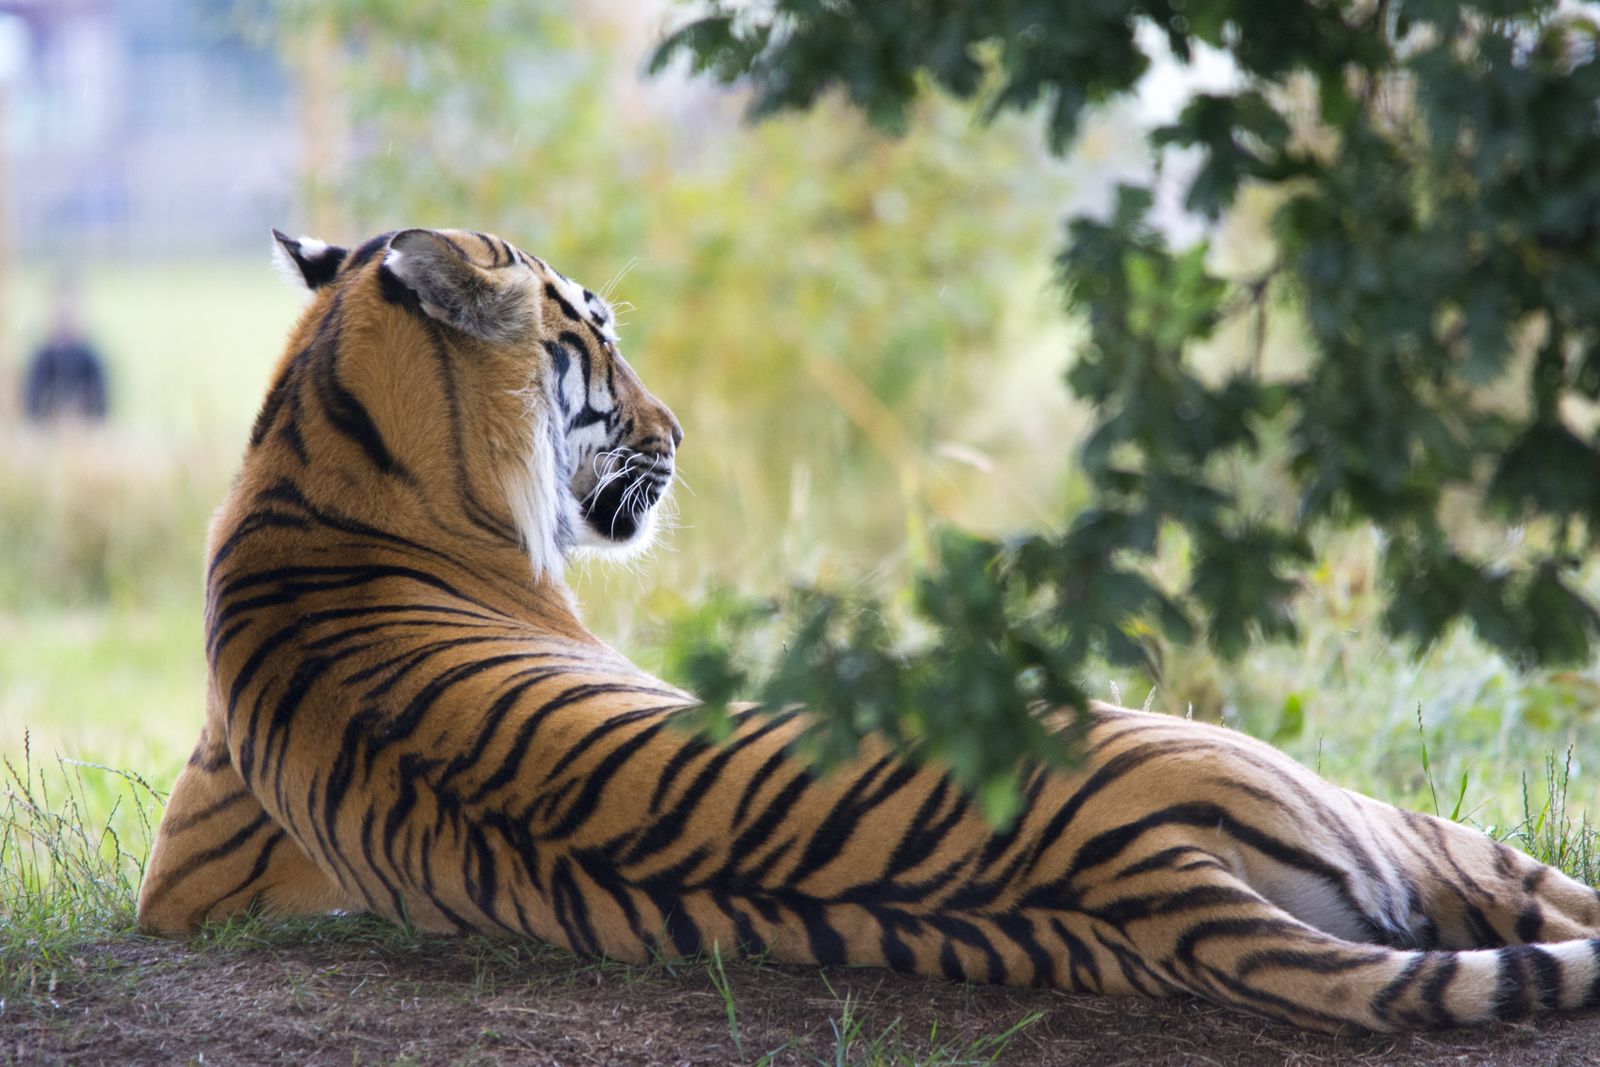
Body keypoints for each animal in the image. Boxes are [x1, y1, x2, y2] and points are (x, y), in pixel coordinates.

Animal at [138, 226, 1600, 1033]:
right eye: (595, 340)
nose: (680, 432)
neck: (316, 445)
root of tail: (1144, 879)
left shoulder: (184, 877)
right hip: (1340, 795)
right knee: (1541, 888)